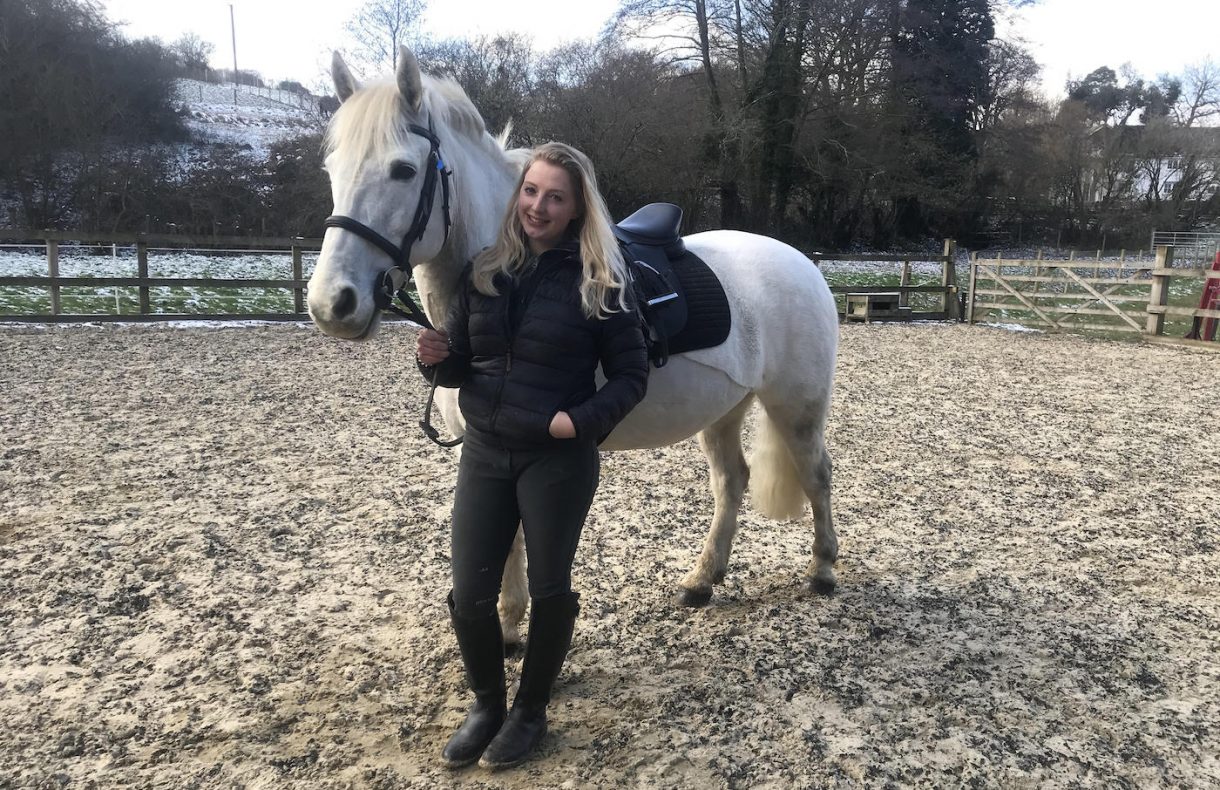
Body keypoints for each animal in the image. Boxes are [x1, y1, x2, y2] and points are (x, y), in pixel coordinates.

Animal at [306, 46, 840, 646]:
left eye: (403, 169)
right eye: (332, 170)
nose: (331, 303)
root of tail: (801, 262)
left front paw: (511, 626)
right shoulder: (483, 444)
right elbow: (504, 535)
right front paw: (507, 626)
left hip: (797, 408)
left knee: (817, 474)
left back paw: (823, 570)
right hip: (724, 409)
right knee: (732, 482)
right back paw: (703, 580)